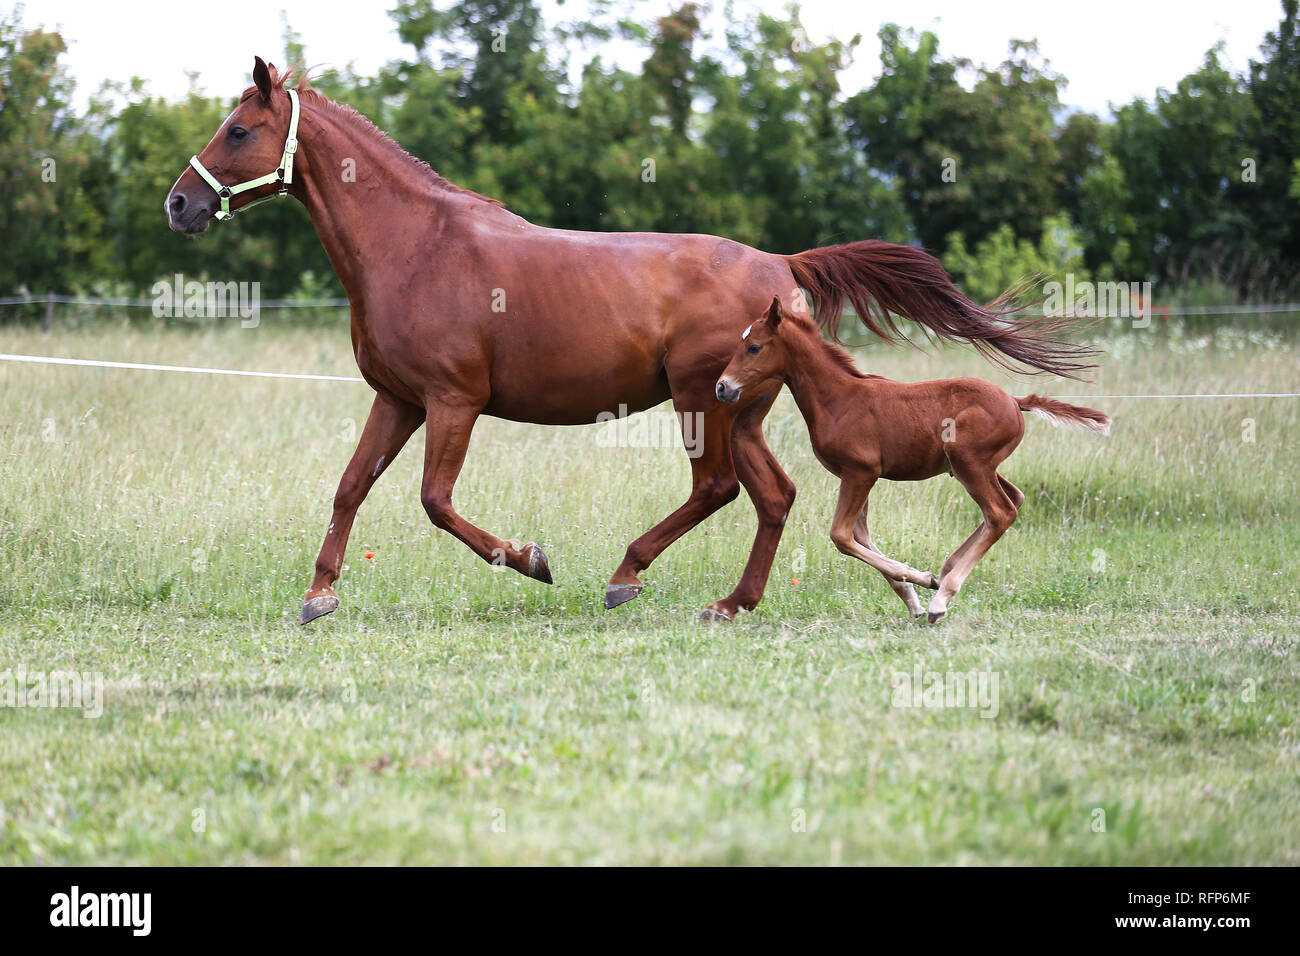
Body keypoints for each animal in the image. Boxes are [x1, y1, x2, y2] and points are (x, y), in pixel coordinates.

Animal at [715, 296, 1110, 622]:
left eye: (753, 347)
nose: (722, 387)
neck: (839, 397)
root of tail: (1015, 401)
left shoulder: (861, 472)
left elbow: (842, 536)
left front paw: (923, 585)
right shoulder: (855, 476)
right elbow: (861, 535)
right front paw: (915, 592)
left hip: (968, 462)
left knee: (1000, 512)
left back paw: (943, 597)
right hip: (980, 466)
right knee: (1015, 499)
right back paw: (946, 571)